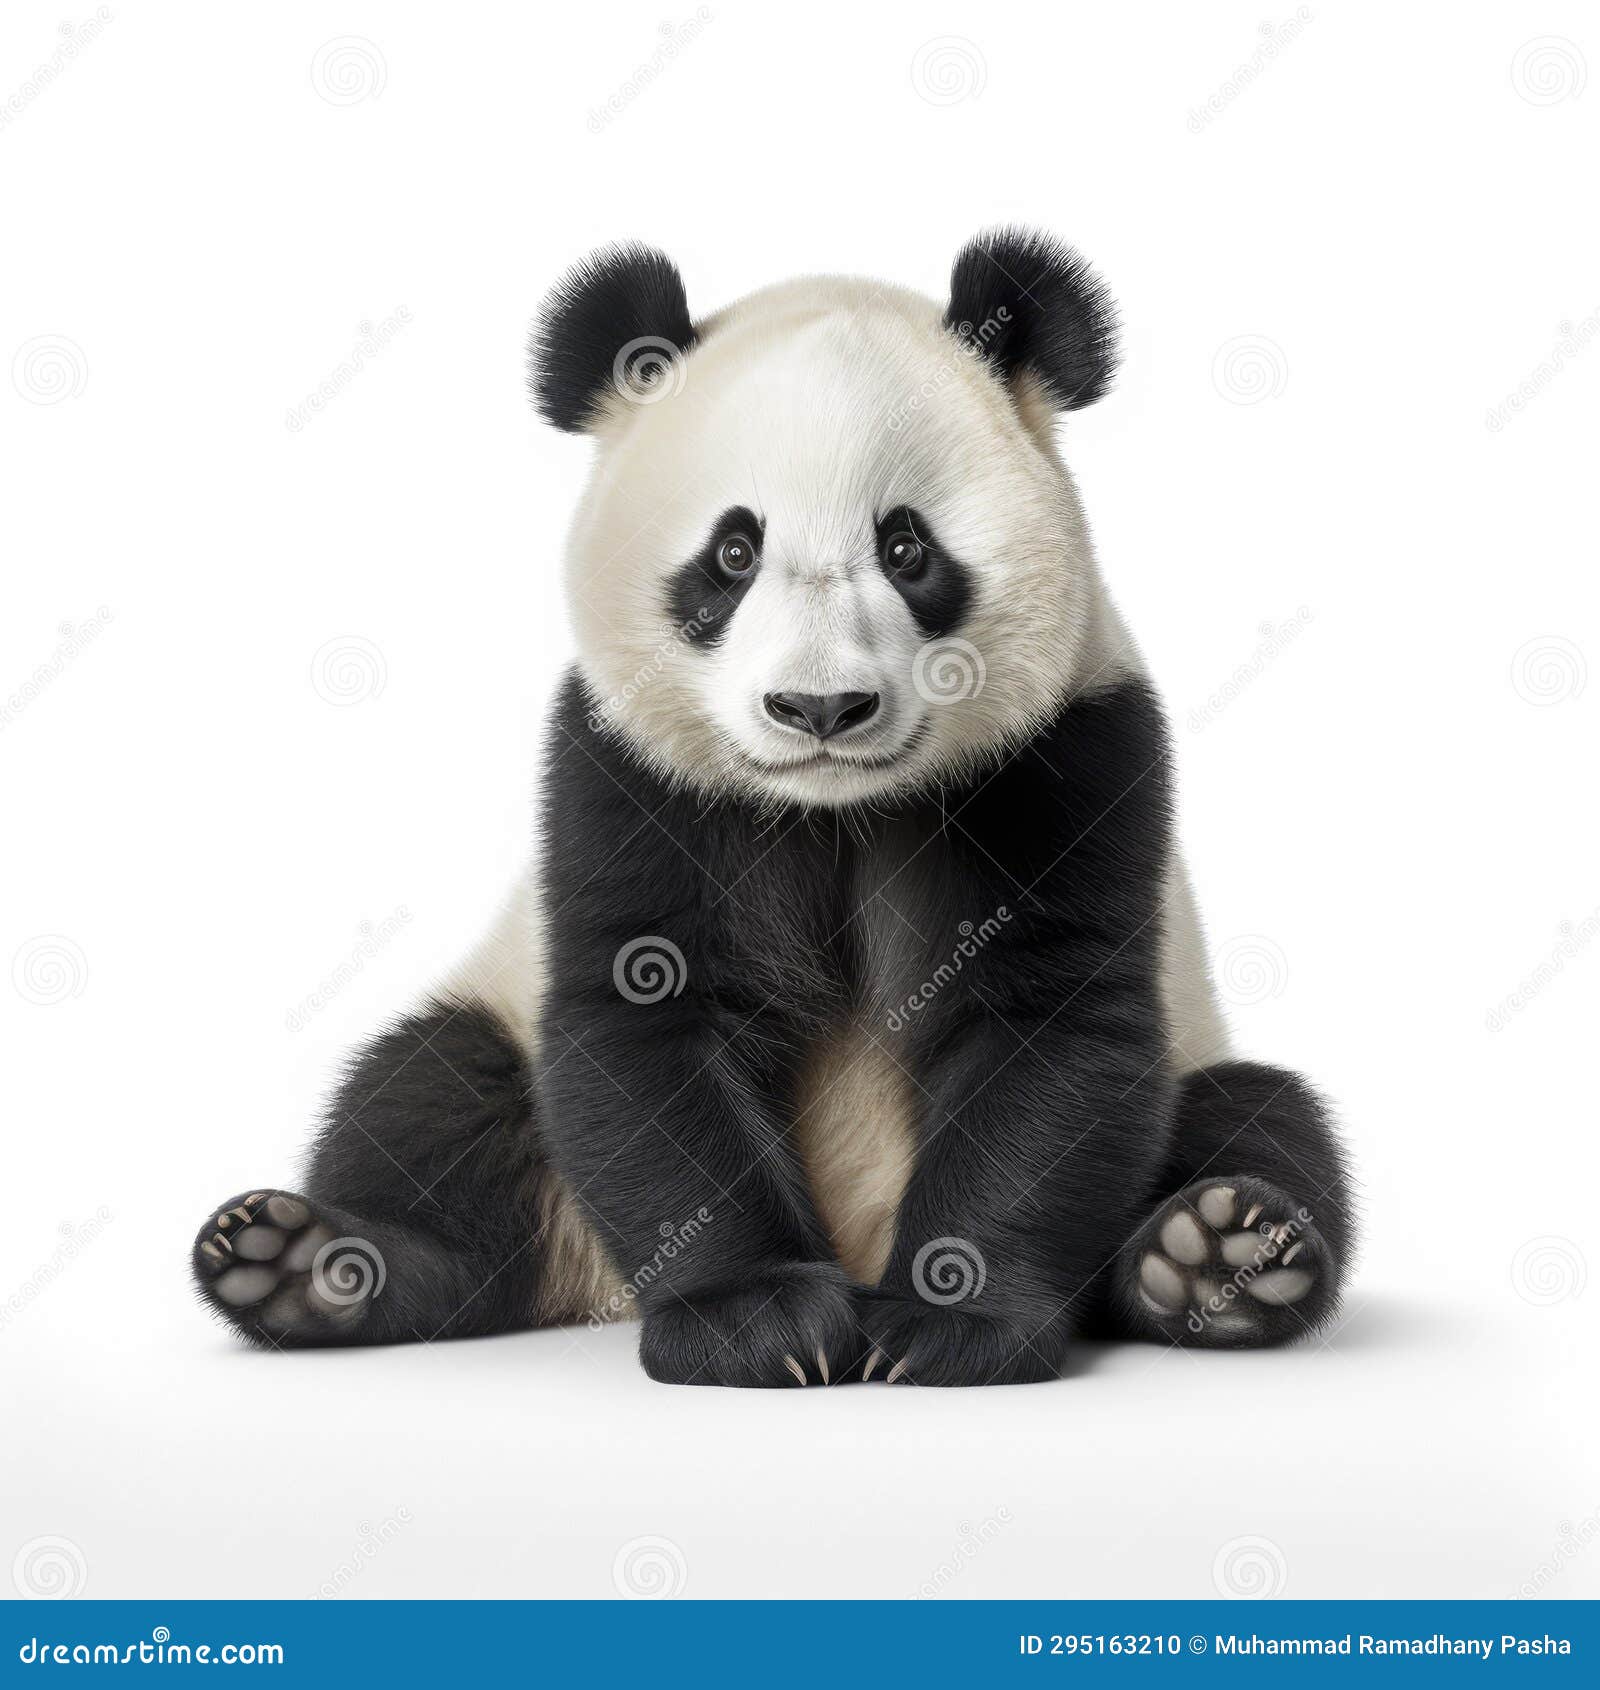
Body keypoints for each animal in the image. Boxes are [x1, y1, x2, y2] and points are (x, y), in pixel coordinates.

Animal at [191, 230, 1353, 1386]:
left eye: (906, 548)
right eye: (733, 553)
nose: (821, 707)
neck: (832, 808)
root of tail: (595, 1288)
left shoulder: (1066, 753)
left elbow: (1047, 1029)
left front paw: (944, 1324)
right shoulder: (627, 775)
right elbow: (649, 1019)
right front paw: (756, 1322)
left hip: (1197, 1051)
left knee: (1261, 1116)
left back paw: (1214, 1258)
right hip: (498, 1015)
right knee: (430, 1094)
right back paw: (308, 1264)